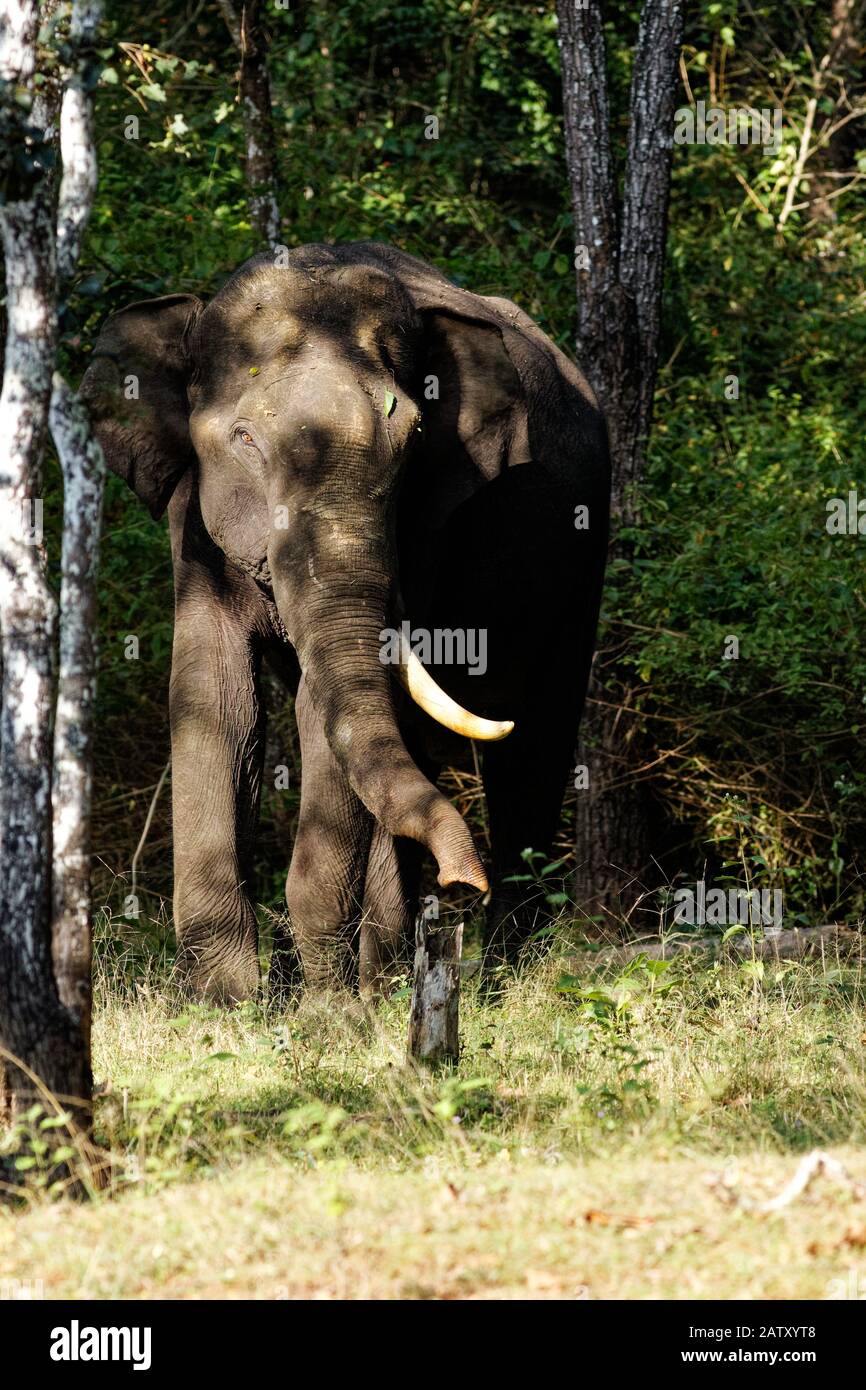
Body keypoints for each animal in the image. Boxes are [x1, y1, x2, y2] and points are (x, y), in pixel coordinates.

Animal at [81, 242, 610, 1002]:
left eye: (413, 440)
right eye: (244, 437)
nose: (462, 880)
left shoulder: (426, 527)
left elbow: (325, 709)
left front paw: (323, 1001)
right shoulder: (195, 526)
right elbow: (216, 695)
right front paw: (227, 1000)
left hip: (582, 550)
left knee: (531, 739)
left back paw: (494, 981)